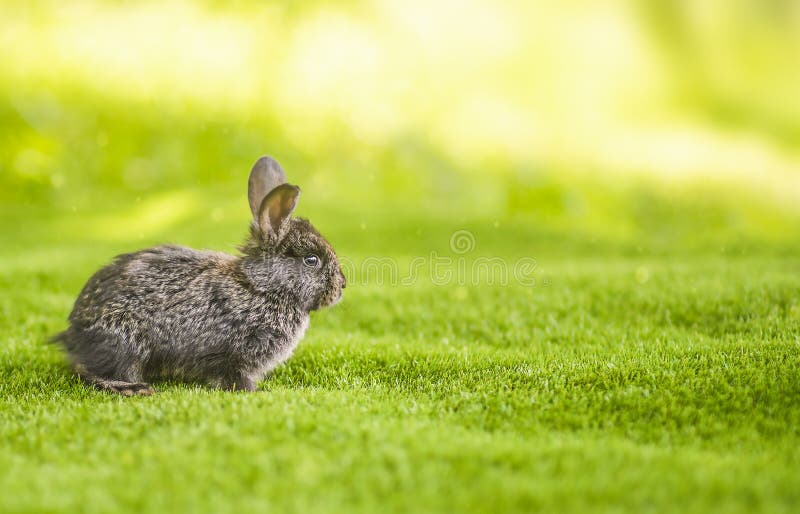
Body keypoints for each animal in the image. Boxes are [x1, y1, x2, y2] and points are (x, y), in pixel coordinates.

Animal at [52, 156, 346, 395]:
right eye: (312, 260)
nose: (342, 286)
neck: (259, 287)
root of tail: (75, 333)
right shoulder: (233, 352)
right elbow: (232, 375)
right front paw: (253, 391)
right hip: (128, 345)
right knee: (90, 371)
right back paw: (131, 388)